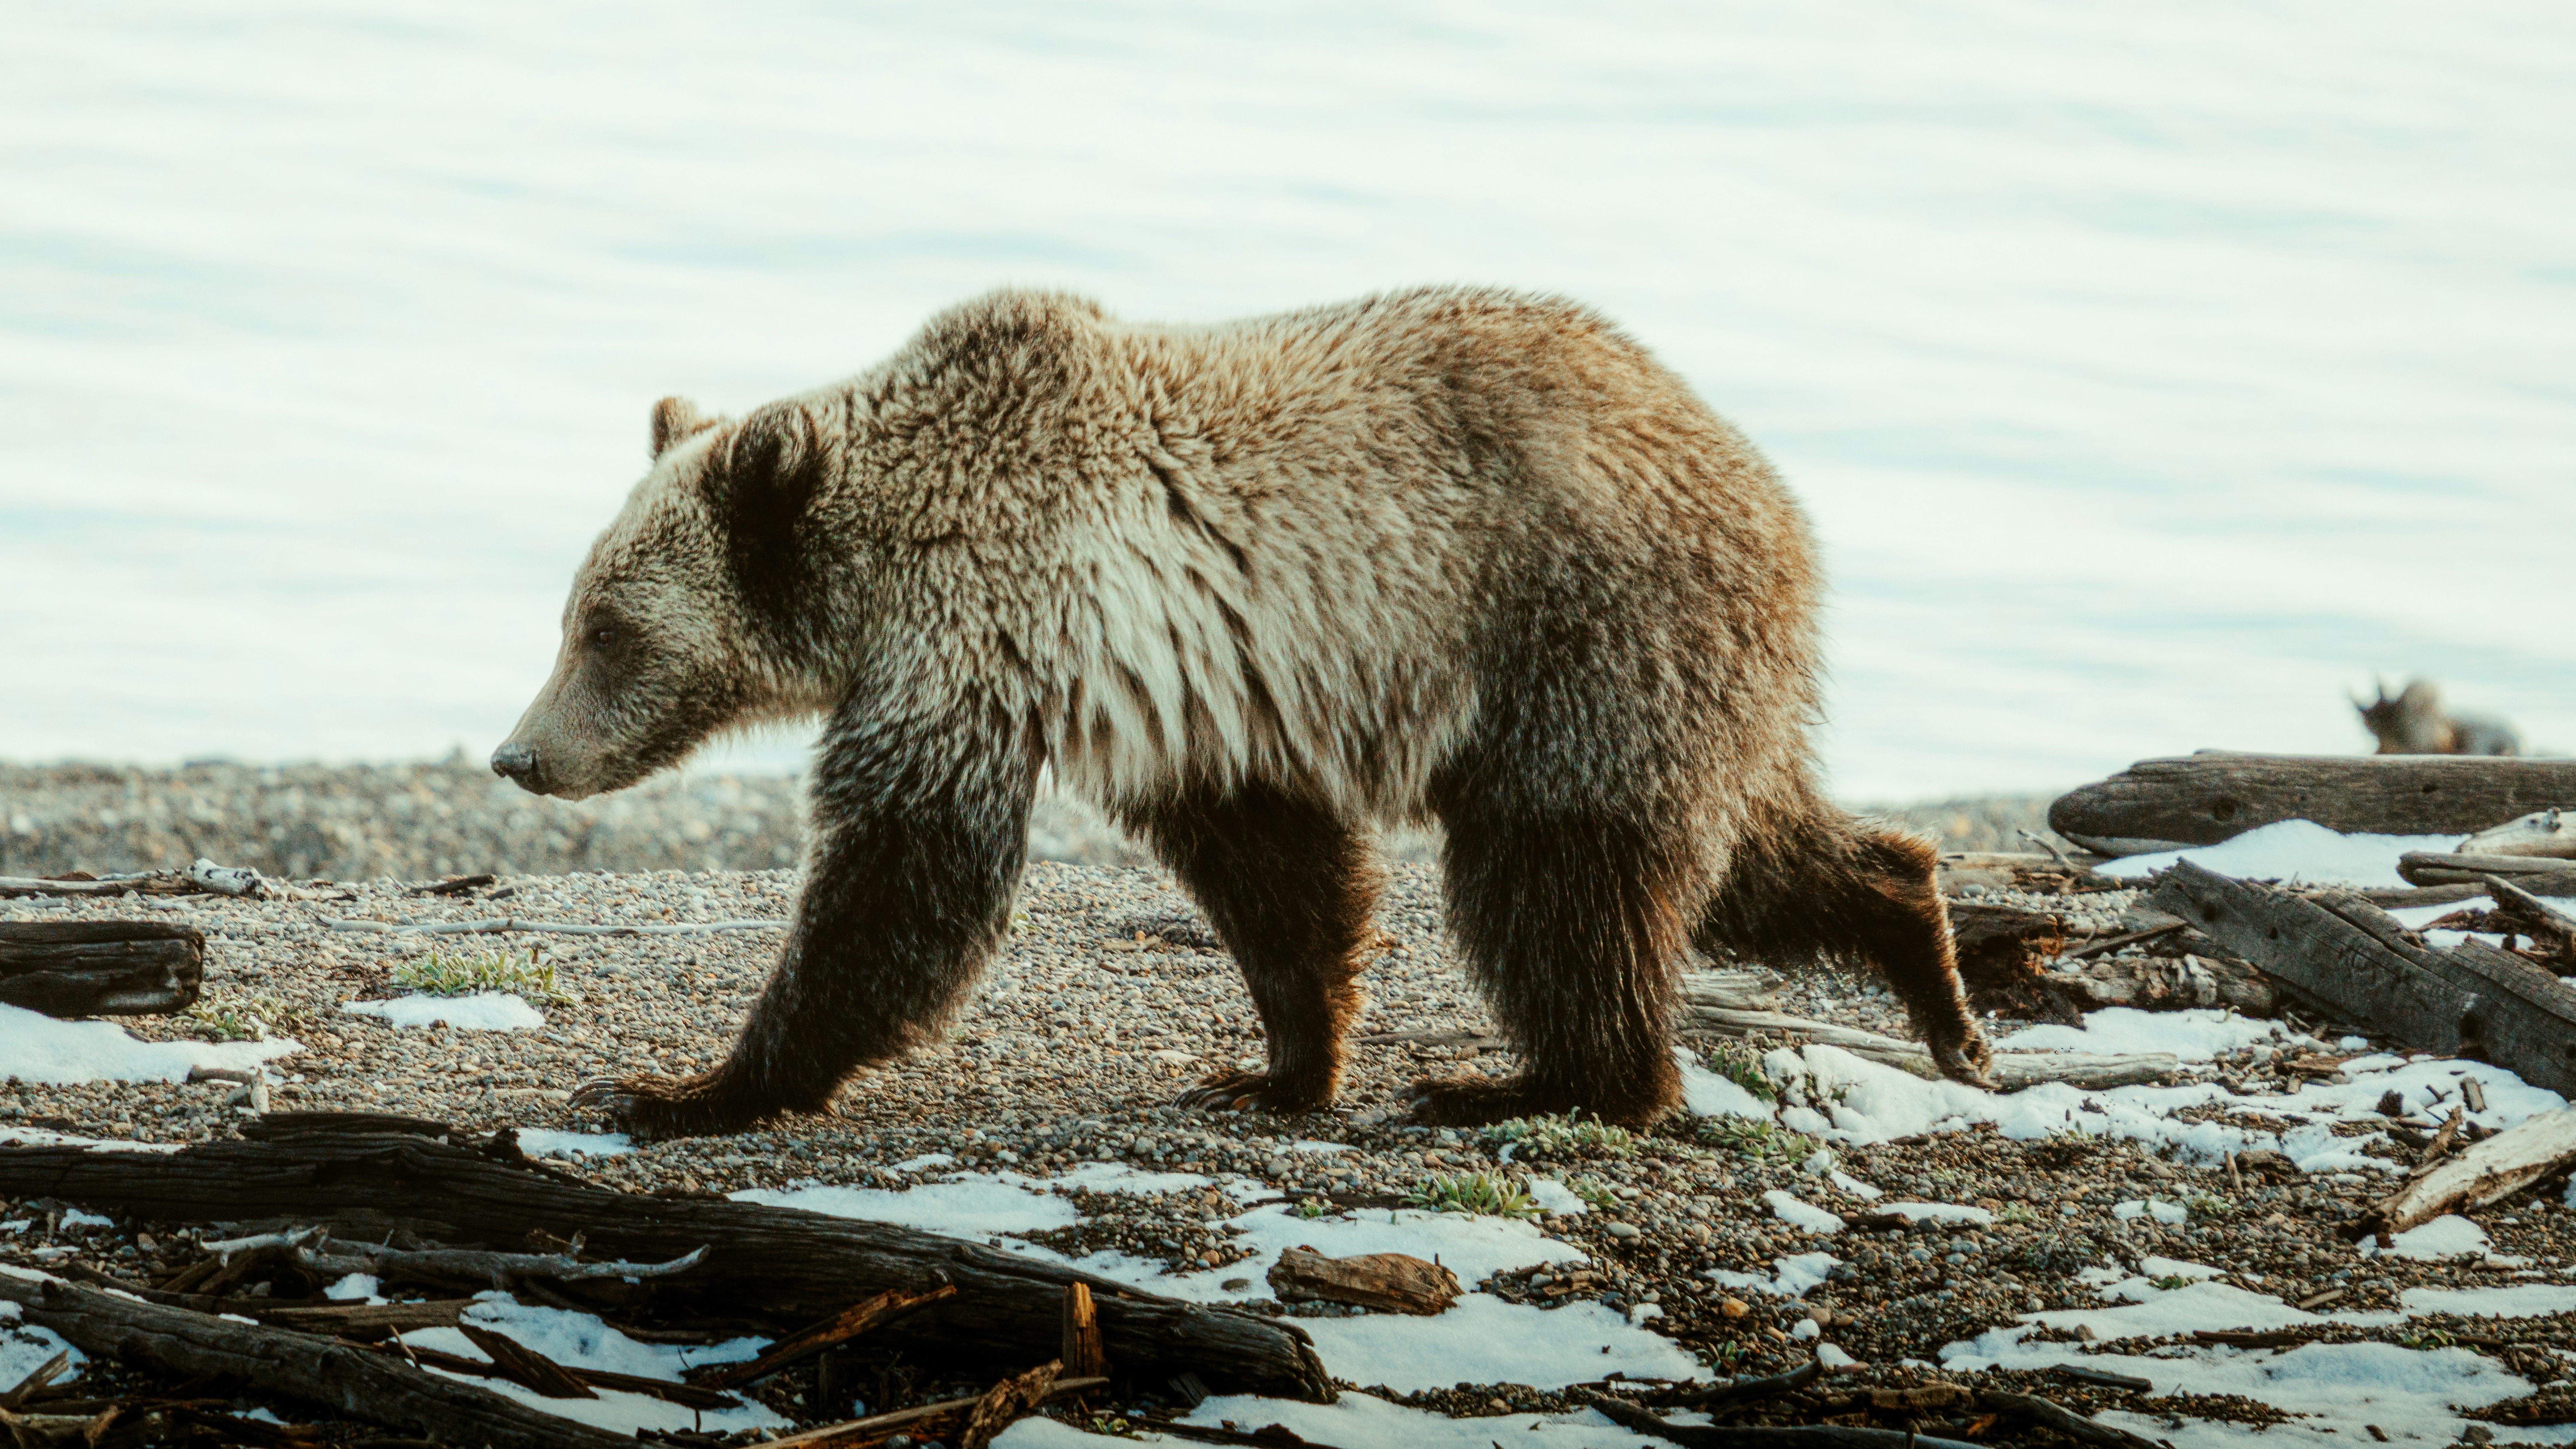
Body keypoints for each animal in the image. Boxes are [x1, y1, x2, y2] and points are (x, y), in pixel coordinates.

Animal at [490, 286, 1996, 1139]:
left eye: (605, 628)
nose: (517, 754)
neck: (872, 563)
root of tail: (1773, 499)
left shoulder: (977, 637)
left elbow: (902, 879)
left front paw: (688, 1087)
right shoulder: (1180, 688)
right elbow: (1273, 866)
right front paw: (1282, 1063)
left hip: (1577, 630)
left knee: (1559, 877)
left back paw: (1549, 1080)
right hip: (1669, 673)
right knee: (1751, 851)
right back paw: (1928, 963)